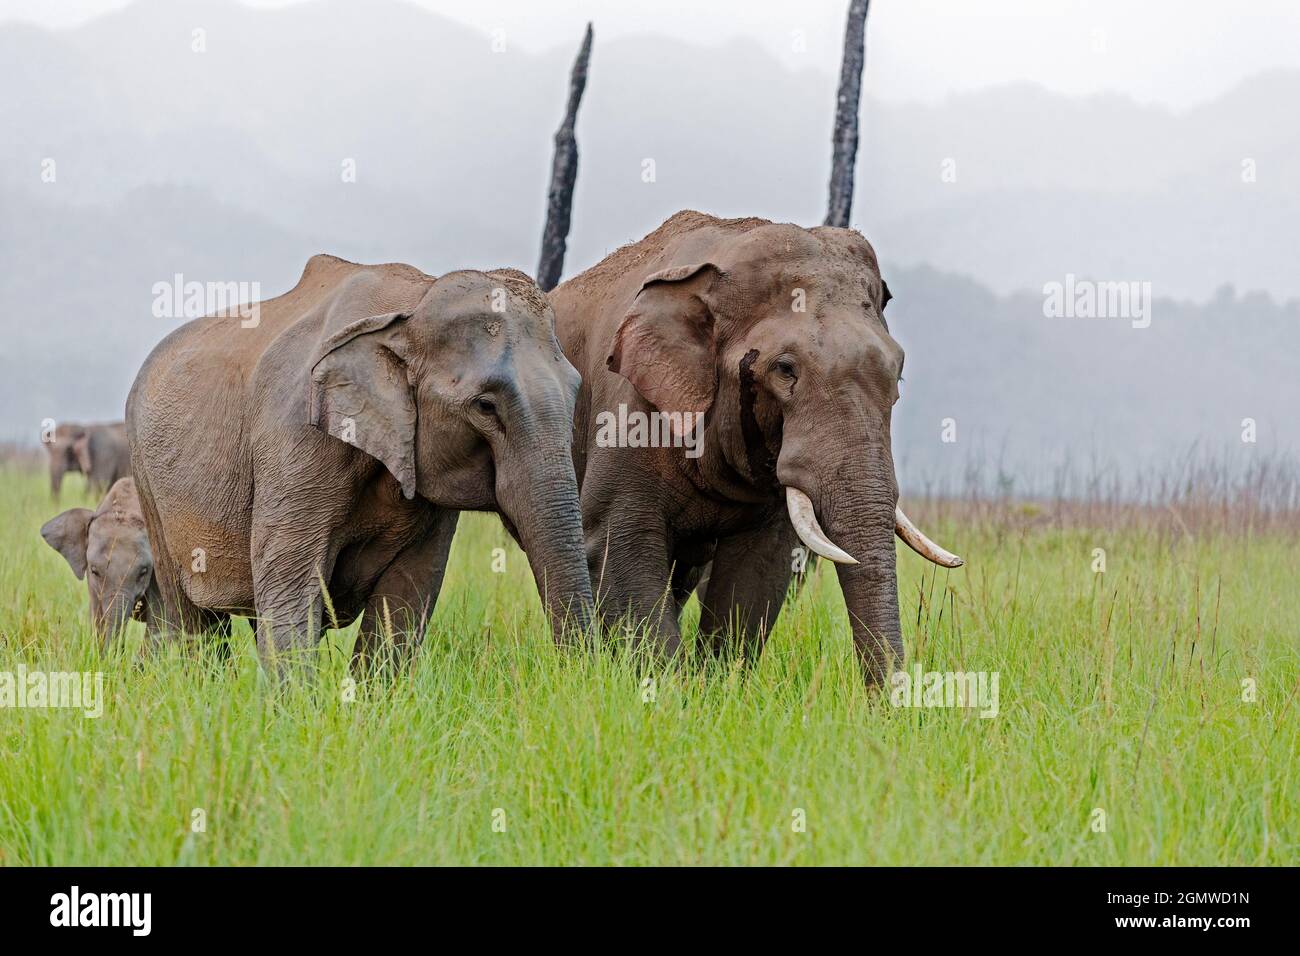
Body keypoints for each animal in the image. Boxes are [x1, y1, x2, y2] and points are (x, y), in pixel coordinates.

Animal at [127, 254, 591, 671]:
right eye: (485, 406)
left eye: (576, 391)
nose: (580, 678)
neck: (411, 305)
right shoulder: (297, 437)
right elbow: (290, 579)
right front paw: (298, 710)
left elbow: (409, 592)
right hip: (146, 478)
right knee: (191, 615)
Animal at [549, 210, 962, 684]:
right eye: (784, 369)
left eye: (898, 371)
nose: (887, 701)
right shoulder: (632, 408)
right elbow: (620, 542)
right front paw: (668, 689)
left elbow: (757, 568)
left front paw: (717, 685)